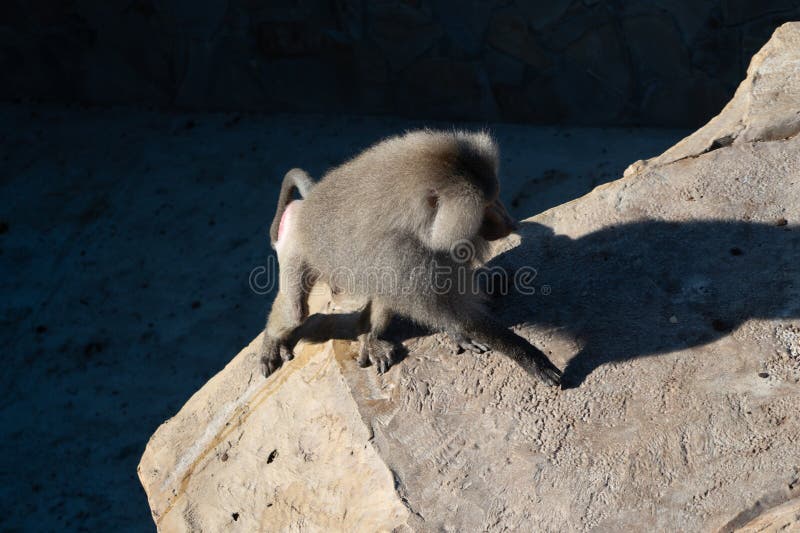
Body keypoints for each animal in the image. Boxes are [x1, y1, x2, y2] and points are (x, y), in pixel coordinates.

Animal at [259, 130, 562, 387]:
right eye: (486, 206)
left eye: (496, 197)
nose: (510, 224)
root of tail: (303, 206)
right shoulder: (404, 255)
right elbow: (460, 313)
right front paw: (531, 358)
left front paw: (457, 332)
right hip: (293, 246)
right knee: (295, 310)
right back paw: (273, 340)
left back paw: (370, 336)